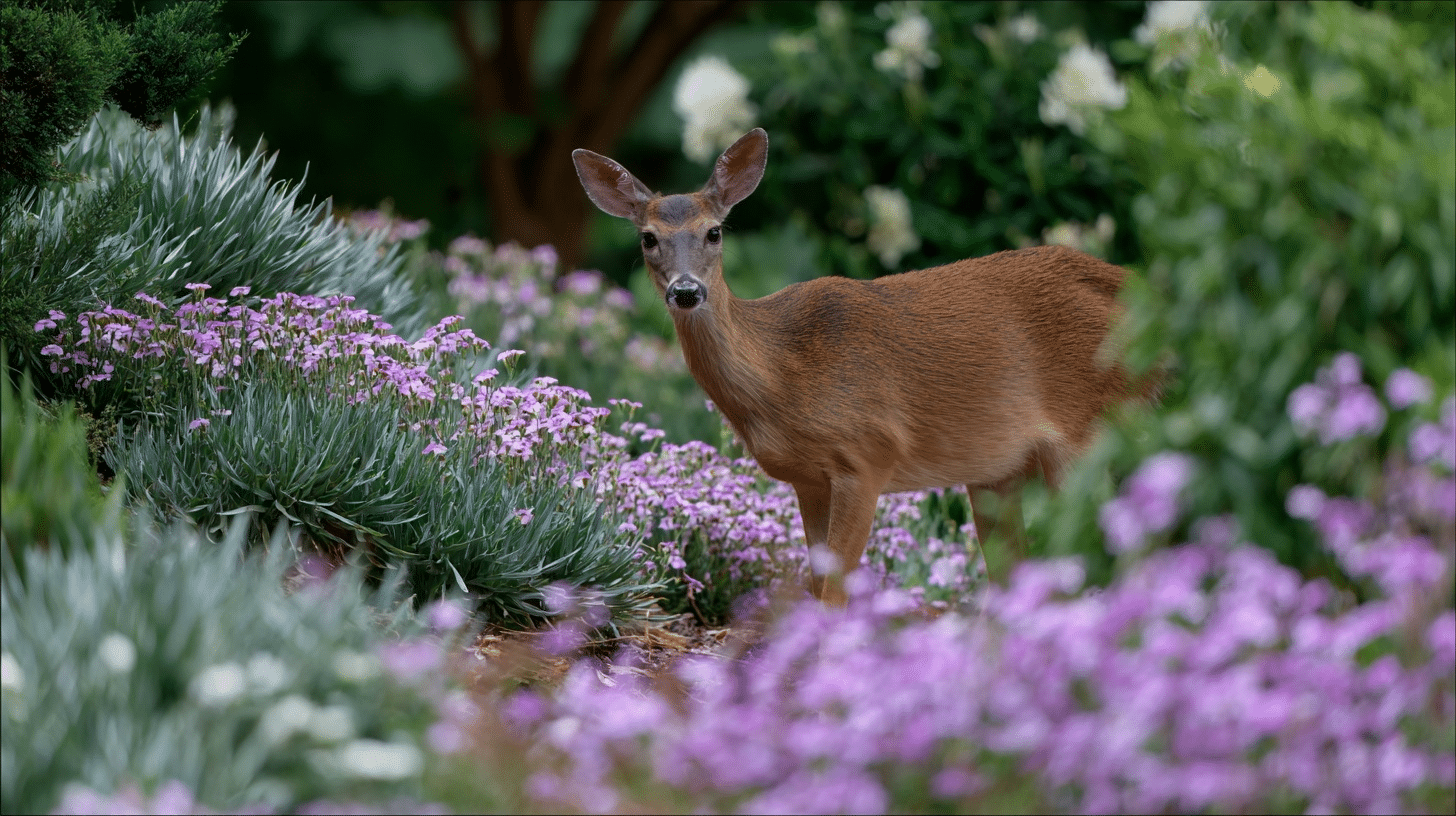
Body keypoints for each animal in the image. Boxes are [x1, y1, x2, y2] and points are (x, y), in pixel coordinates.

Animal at [573, 128, 1154, 604]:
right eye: (648, 237)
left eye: (715, 231)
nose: (687, 291)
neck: (785, 372)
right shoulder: (808, 479)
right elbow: (815, 586)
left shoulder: (869, 452)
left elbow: (834, 594)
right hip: (999, 471)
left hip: (1086, 432)